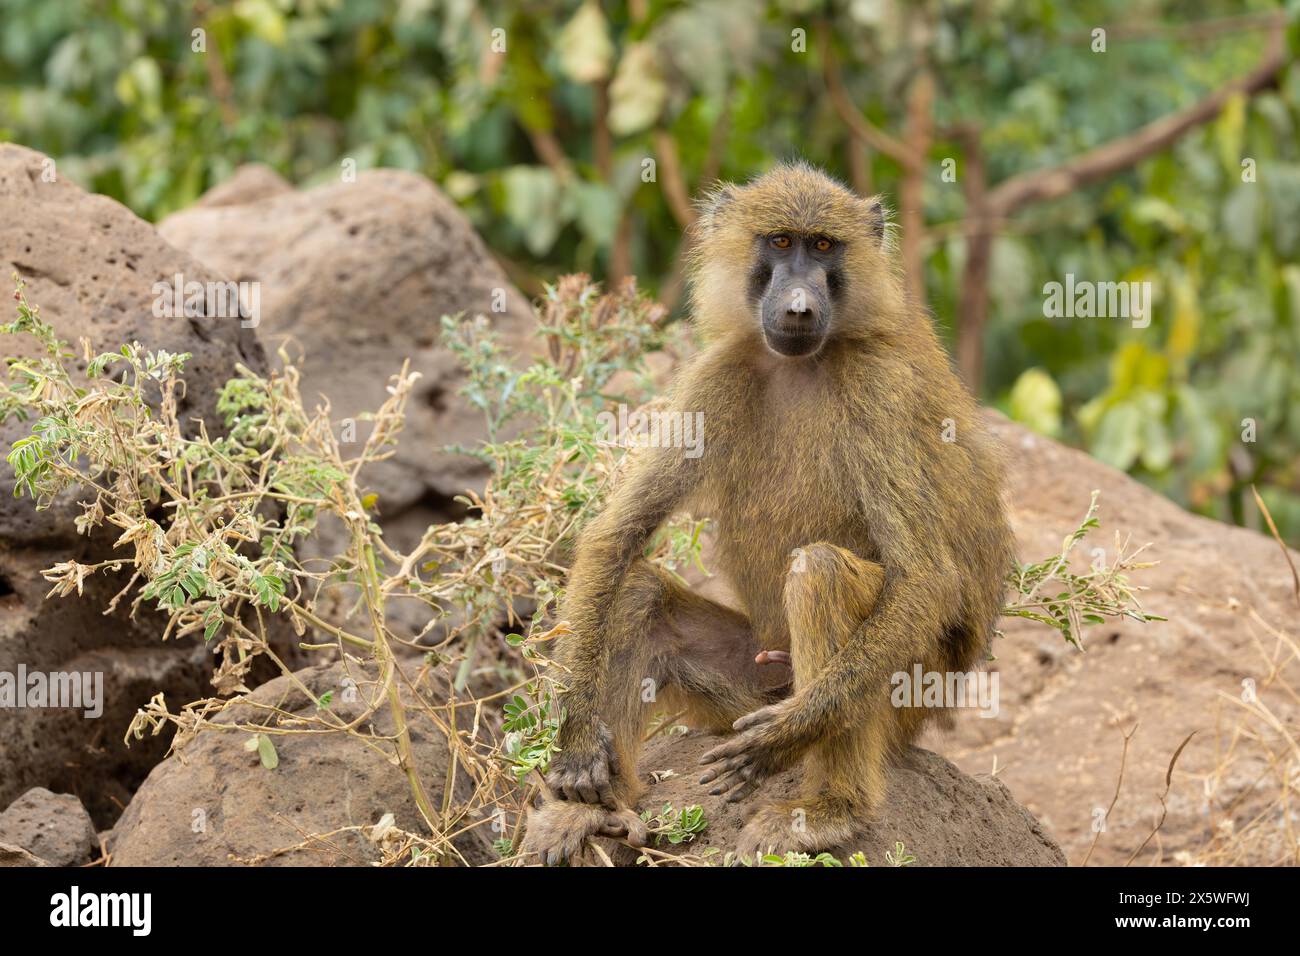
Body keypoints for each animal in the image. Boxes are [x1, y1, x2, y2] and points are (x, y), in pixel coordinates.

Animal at [522, 161, 1012, 864]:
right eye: (780, 243)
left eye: (825, 247)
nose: (800, 306)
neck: (801, 362)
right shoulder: (720, 369)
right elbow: (619, 536)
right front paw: (579, 742)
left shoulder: (879, 386)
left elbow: (923, 575)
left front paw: (785, 740)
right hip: (745, 688)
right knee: (639, 591)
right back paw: (598, 811)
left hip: (909, 692)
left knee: (820, 573)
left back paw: (827, 809)